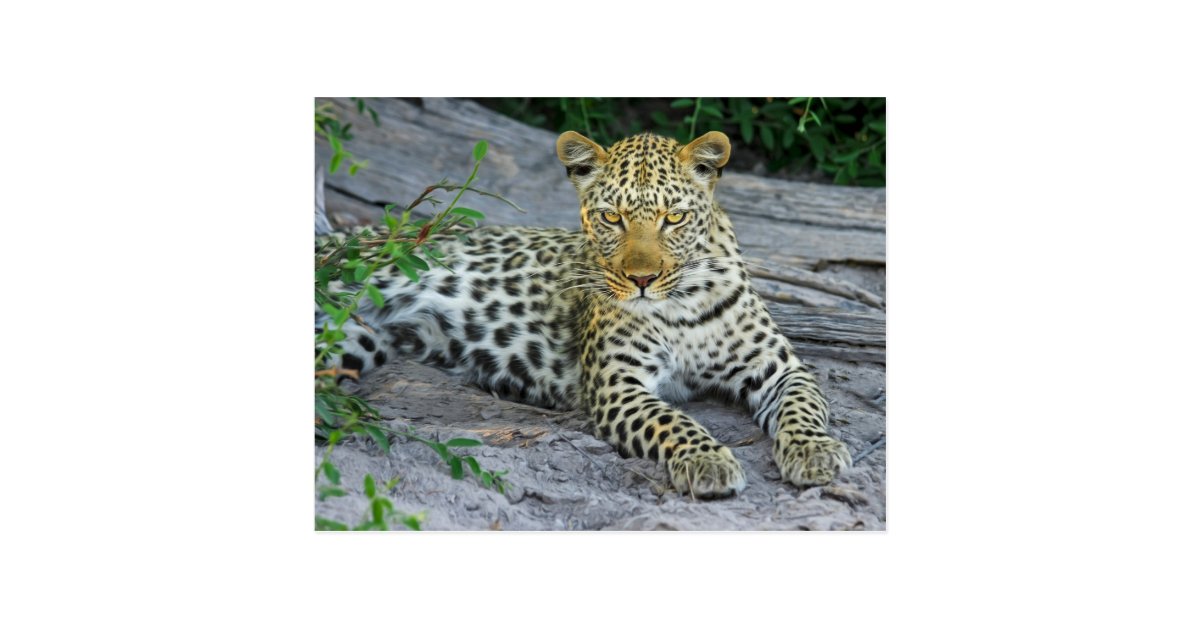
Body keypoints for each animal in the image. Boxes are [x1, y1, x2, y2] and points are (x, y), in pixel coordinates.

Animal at [318, 130, 853, 499]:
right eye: (611, 217)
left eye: (674, 218)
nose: (642, 279)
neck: (681, 304)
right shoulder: (618, 385)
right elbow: (673, 421)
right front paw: (707, 461)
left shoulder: (780, 368)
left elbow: (802, 408)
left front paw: (816, 452)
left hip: (356, 341)